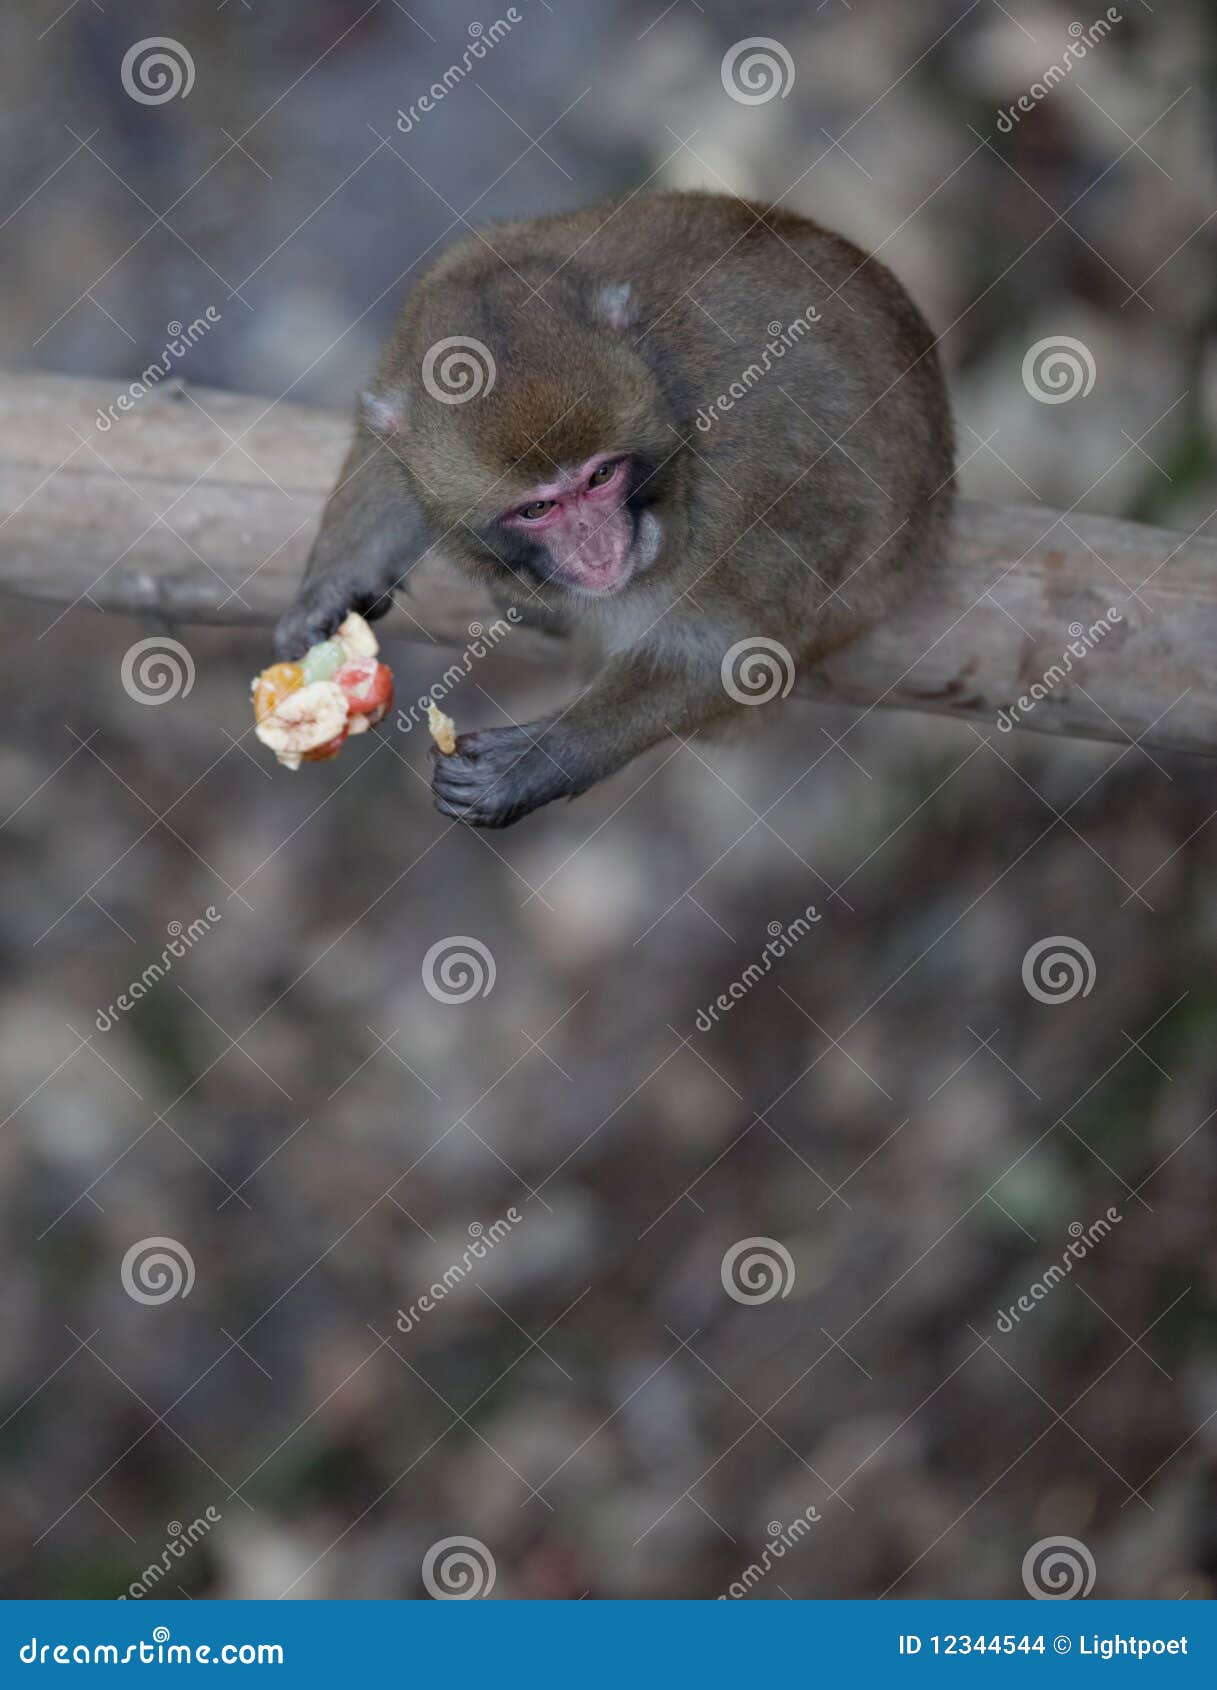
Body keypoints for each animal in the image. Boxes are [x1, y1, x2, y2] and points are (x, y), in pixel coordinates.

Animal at [275, 189, 954, 828]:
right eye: (537, 509)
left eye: (601, 476)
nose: (600, 550)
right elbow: (386, 451)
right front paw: (329, 592)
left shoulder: (747, 484)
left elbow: (739, 656)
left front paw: (538, 763)